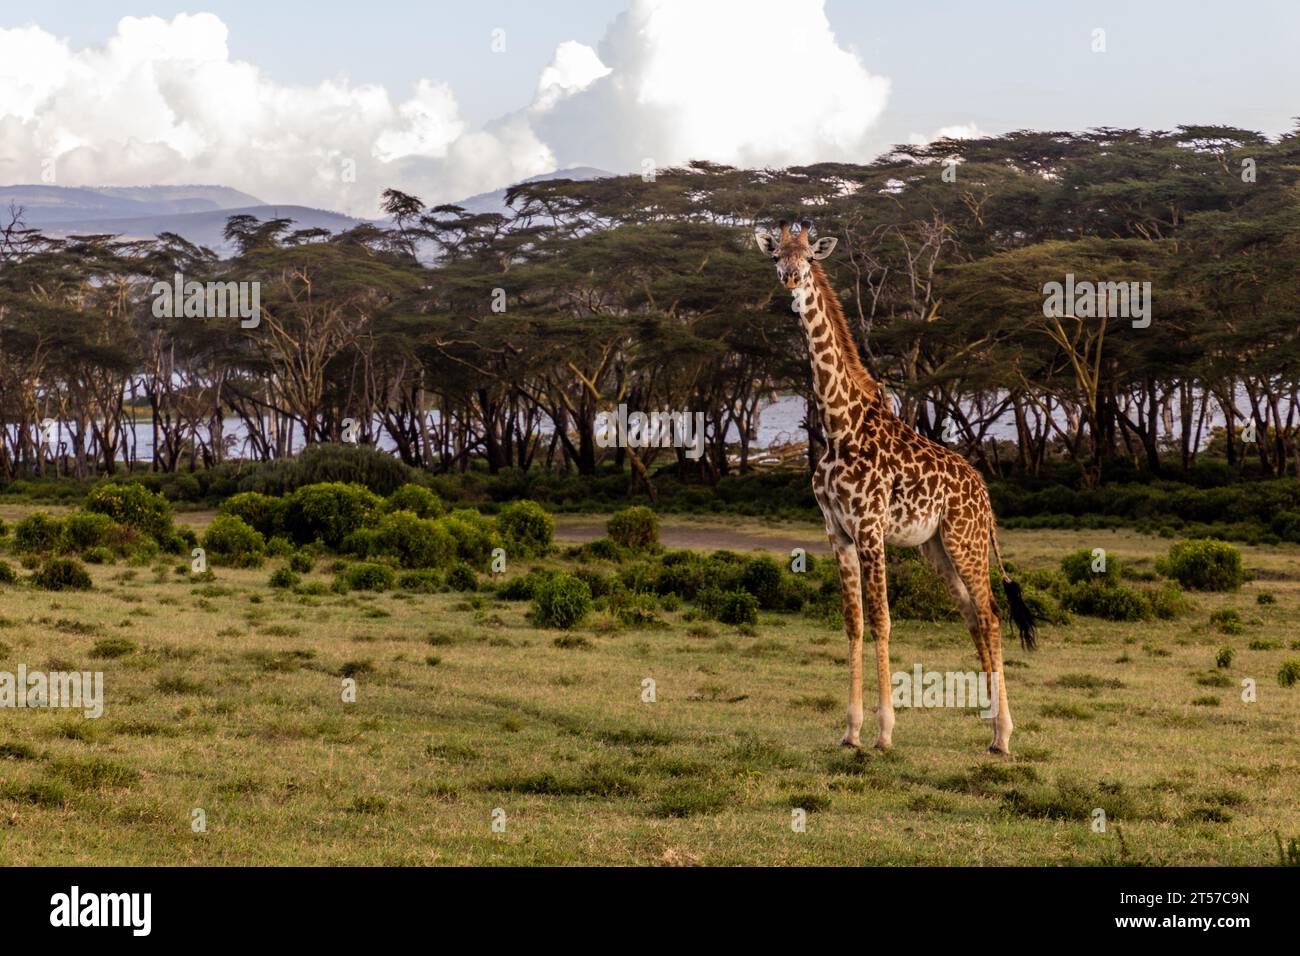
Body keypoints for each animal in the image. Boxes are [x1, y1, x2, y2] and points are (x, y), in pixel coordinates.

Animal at [754, 219, 1039, 754]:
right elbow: (854, 622)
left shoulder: (870, 528)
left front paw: (885, 732)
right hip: (937, 547)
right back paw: (990, 725)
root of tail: (985, 494)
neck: (839, 425)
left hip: (966, 541)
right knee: (972, 616)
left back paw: (1005, 736)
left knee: (991, 614)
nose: (791, 283)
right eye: (776, 256)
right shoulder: (837, 532)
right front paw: (851, 730)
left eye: (810, 258)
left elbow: (883, 620)